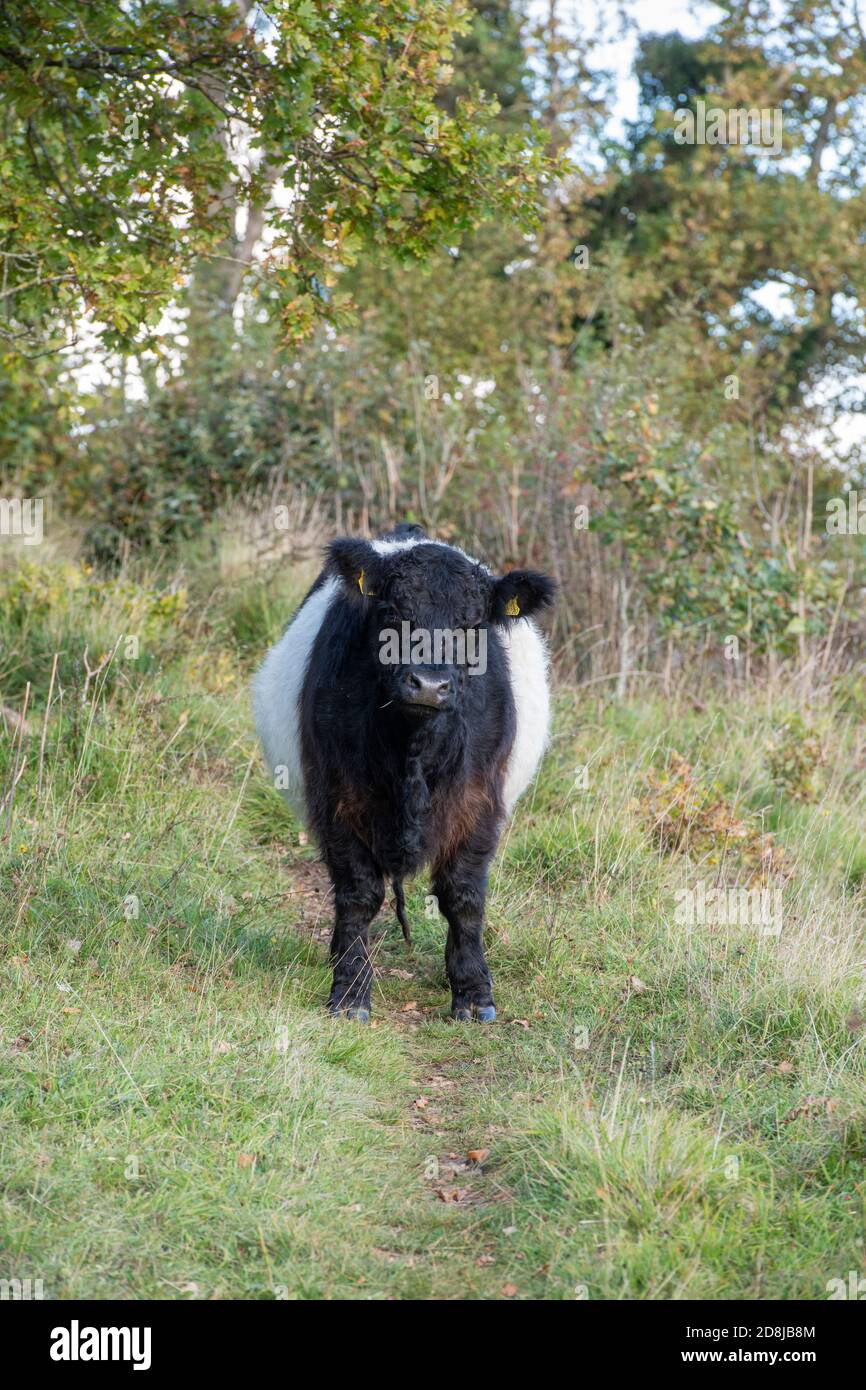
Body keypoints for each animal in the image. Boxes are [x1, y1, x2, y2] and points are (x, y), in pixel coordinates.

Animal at [253, 523, 555, 1023]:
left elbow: (462, 895)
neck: (413, 749)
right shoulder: (337, 800)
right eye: (393, 613)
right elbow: (357, 896)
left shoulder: (480, 803)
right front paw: (350, 992)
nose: (429, 685)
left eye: (474, 626)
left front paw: (473, 994)